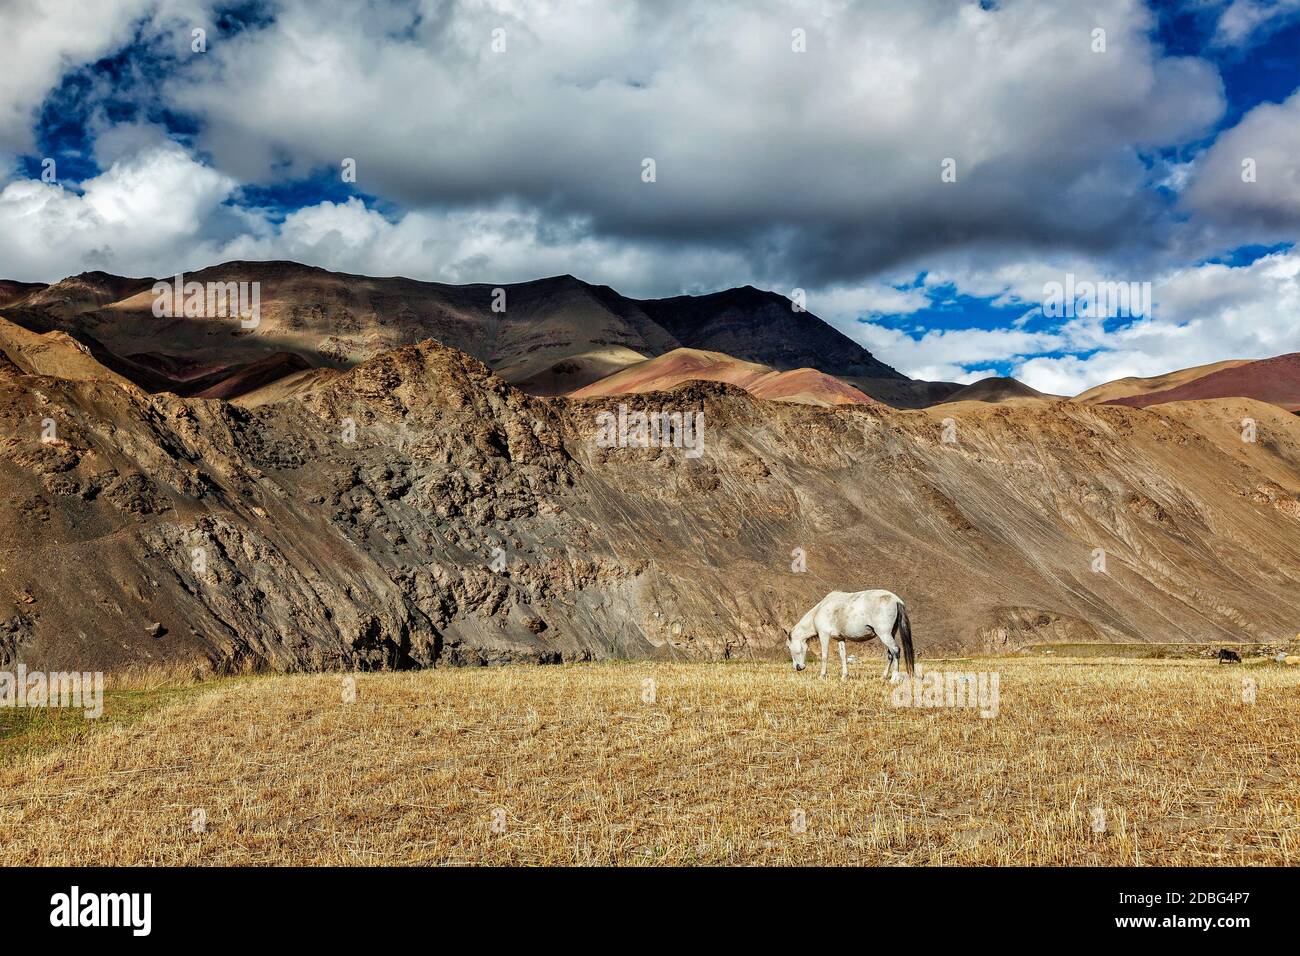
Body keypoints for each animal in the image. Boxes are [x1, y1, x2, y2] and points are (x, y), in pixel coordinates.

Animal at [786, 589, 915, 682]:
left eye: (788, 647)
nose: (798, 667)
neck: (820, 609)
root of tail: (896, 600)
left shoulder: (824, 635)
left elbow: (824, 656)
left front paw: (822, 676)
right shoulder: (840, 638)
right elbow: (843, 656)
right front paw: (844, 676)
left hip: (884, 635)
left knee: (895, 650)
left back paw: (894, 678)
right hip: (890, 634)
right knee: (890, 654)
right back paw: (883, 677)